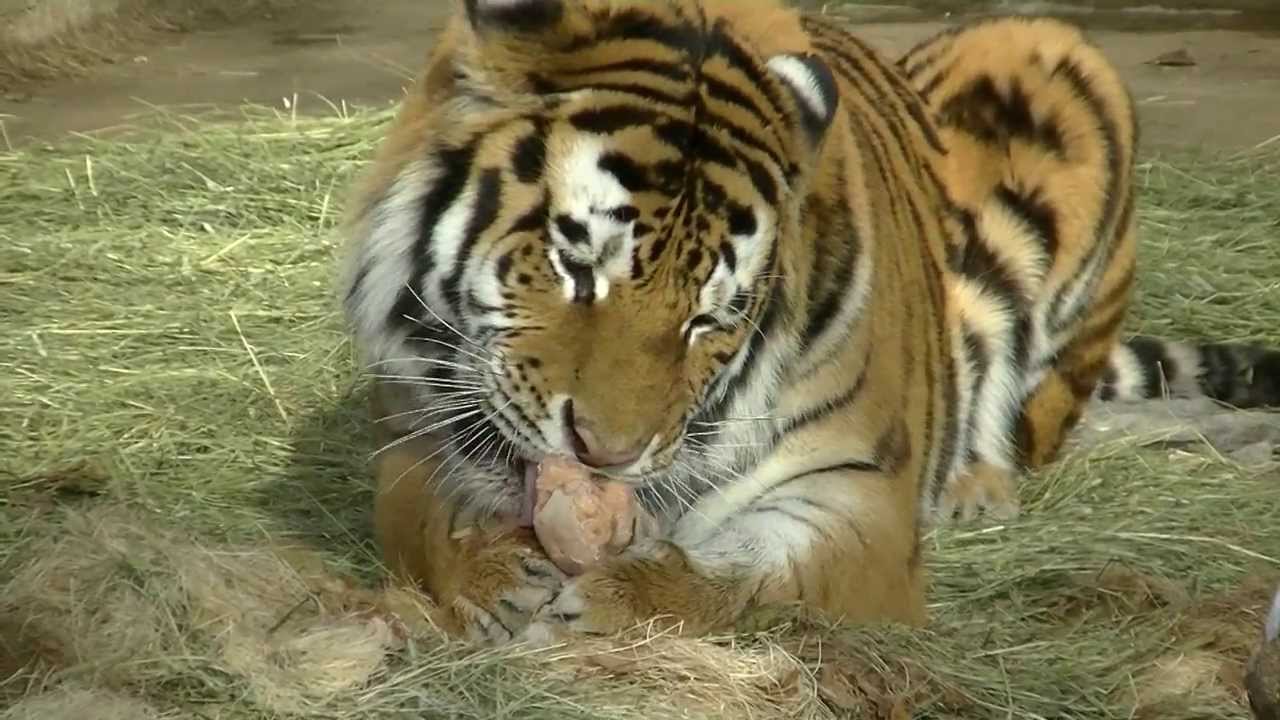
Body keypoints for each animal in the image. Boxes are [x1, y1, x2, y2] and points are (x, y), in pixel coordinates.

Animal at [338, 0, 1280, 644]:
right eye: (576, 265)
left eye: (707, 319)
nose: (606, 458)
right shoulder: (403, 433)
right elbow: (420, 524)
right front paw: (496, 574)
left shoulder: (856, 492)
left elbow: (753, 574)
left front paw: (620, 598)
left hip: (1049, 55)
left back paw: (978, 485)